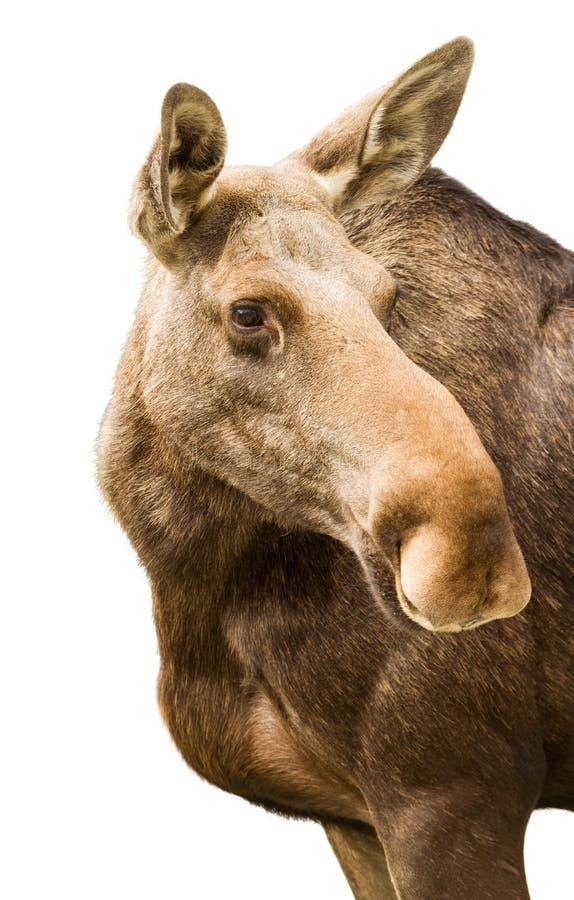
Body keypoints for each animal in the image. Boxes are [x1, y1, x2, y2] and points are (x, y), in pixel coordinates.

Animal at [97, 37, 574, 898]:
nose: (474, 559)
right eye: (248, 311)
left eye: (387, 298)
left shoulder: (453, 793)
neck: (193, 586)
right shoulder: (354, 815)